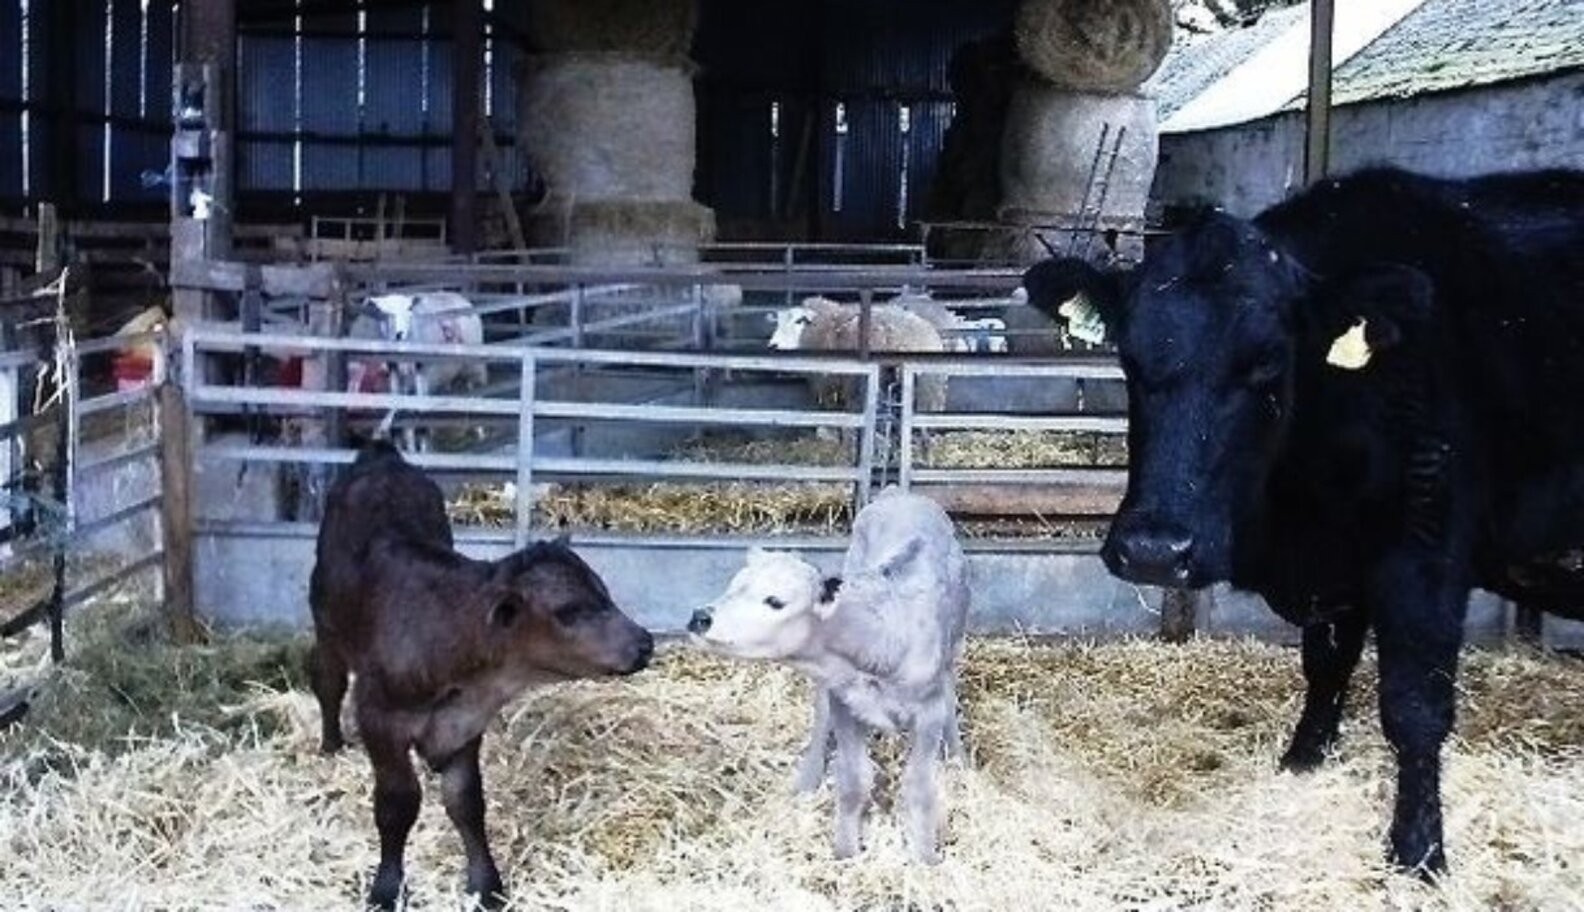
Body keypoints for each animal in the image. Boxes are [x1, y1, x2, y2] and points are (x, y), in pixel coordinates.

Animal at [308, 441, 654, 909]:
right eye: (569, 611)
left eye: (605, 592)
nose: (644, 643)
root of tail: (382, 455)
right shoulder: (380, 719)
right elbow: (397, 805)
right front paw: (387, 889)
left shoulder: (465, 724)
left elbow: (466, 801)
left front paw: (487, 886)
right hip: (325, 624)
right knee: (327, 681)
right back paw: (330, 744)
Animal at [687, 486, 970, 863]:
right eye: (733, 586)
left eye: (775, 601)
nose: (700, 617)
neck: (879, 644)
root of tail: (900, 493)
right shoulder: (845, 704)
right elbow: (852, 781)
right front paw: (845, 852)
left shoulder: (927, 713)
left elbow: (920, 787)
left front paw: (925, 858)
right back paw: (808, 776)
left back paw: (958, 757)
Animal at [1023, 166, 1584, 877]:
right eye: (1129, 357)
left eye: (1267, 360)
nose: (1153, 549)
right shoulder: (1335, 568)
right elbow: (1325, 664)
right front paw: (1303, 762)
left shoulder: (1424, 555)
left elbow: (1415, 705)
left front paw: (1419, 850)